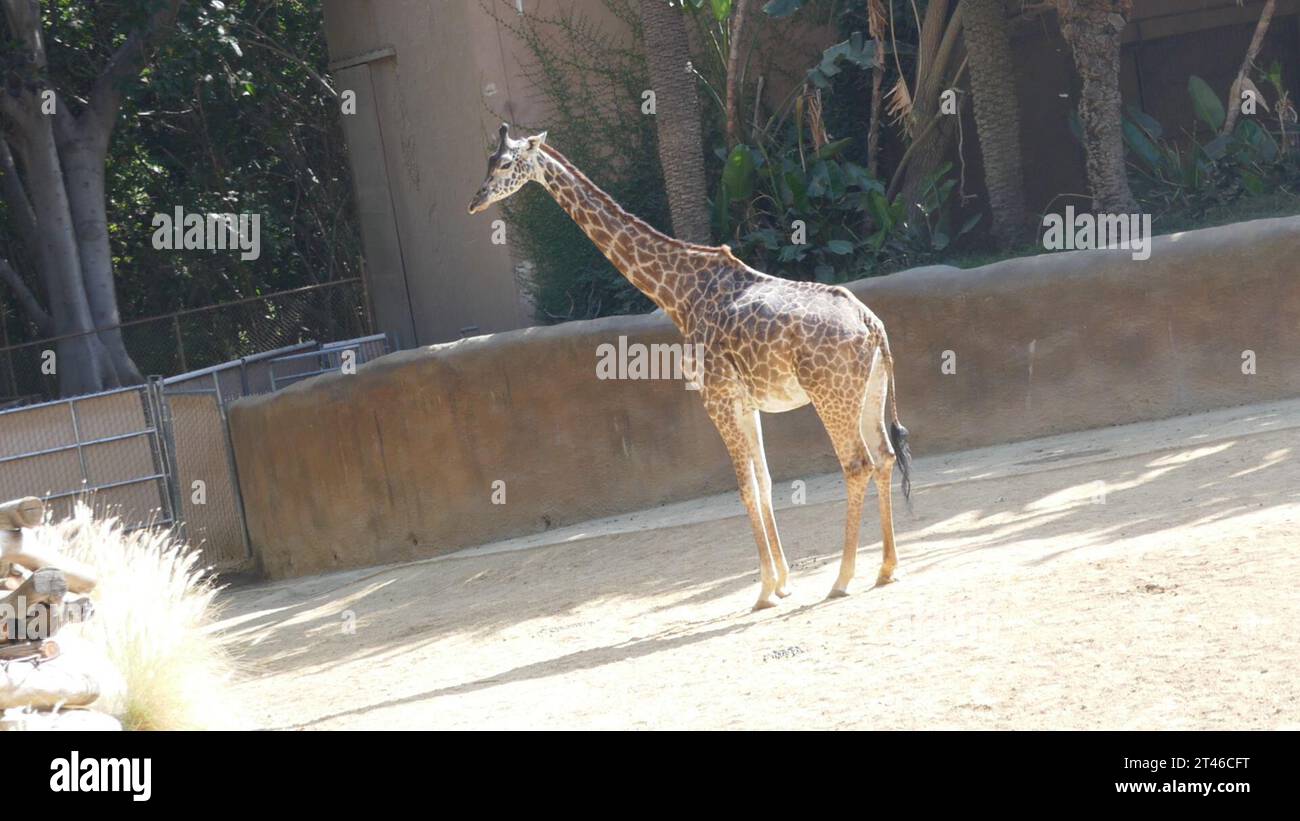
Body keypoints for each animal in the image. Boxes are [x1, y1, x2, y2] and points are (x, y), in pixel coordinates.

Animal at [469, 125, 912, 610]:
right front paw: (783, 583)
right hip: (869, 390)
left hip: (832, 394)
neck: (679, 294)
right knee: (885, 457)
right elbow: (765, 480)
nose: (476, 200)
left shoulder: (714, 397)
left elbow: (744, 487)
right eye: (486, 162)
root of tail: (872, 326)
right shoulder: (744, 402)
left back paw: (842, 578)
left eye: (505, 164)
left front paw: (763, 591)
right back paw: (886, 568)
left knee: (857, 463)